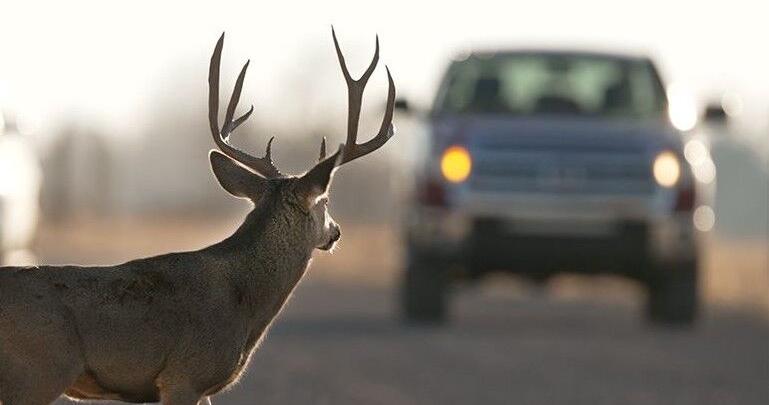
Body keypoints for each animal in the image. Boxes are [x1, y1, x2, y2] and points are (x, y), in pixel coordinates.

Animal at [0, 28, 395, 405]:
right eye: (325, 200)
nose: (336, 232)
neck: (244, 302)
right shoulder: (186, 375)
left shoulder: (200, 387)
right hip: (38, 372)